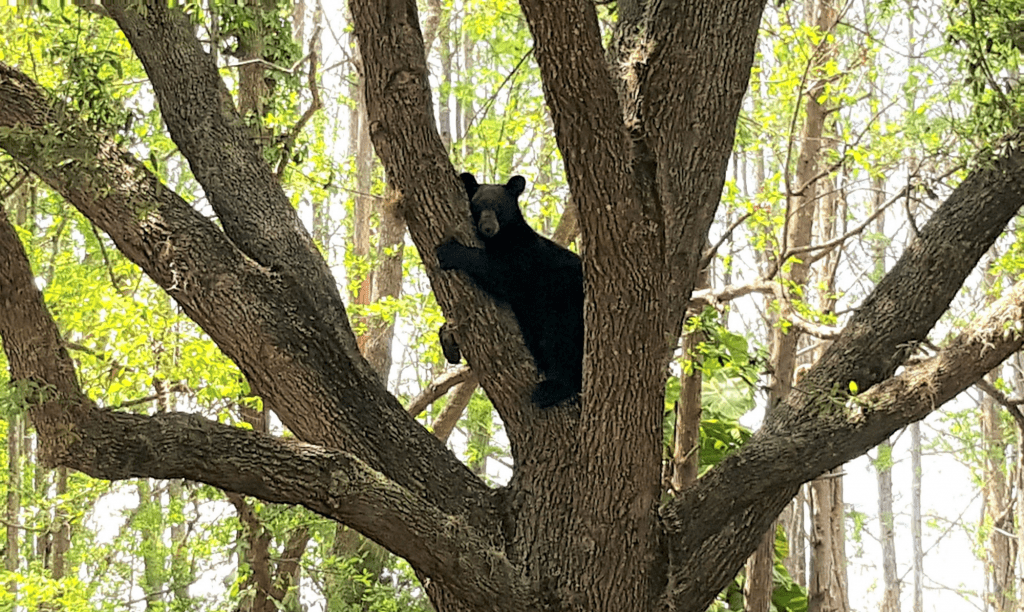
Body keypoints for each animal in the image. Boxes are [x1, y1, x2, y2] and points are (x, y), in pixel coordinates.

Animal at [435, 173, 584, 408]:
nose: (488, 227)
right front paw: (449, 340)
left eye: (499, 206)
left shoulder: (527, 256)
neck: (499, 239)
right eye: (477, 206)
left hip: (568, 302)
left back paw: (552, 389)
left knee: (562, 339)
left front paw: (450, 252)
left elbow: (504, 274)